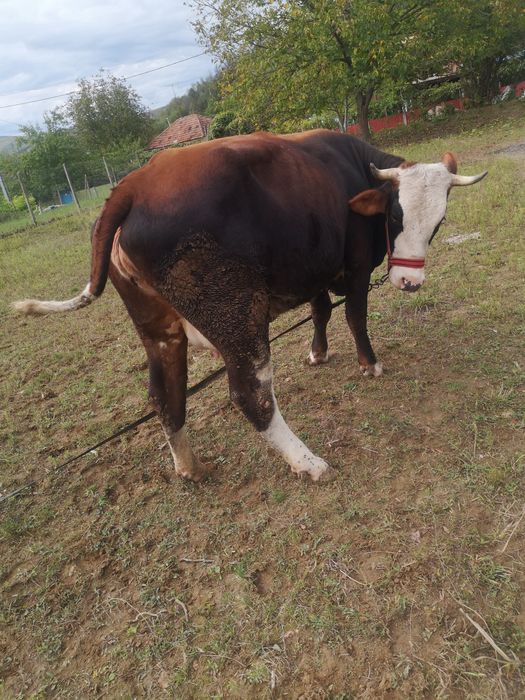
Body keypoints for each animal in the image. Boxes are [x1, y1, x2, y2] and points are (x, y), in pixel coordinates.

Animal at [13, 130, 486, 482]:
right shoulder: (352, 270)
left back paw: (190, 467)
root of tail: (134, 184)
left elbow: (320, 312)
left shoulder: (312, 270)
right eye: (394, 216)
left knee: (165, 397)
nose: (410, 282)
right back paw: (307, 461)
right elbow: (354, 316)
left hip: (159, 331)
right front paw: (369, 363)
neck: (351, 171)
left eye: (439, 220)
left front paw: (318, 352)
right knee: (250, 395)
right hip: (238, 321)